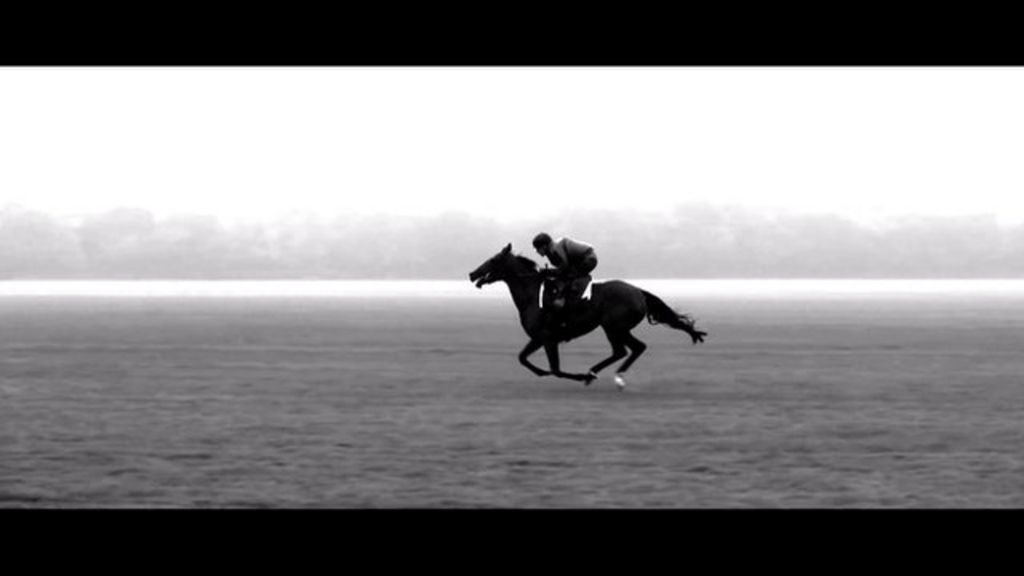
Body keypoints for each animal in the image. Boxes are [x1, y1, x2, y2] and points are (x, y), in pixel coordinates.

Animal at [468, 243, 707, 388]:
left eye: (493, 260)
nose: (472, 274)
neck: (532, 295)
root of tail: (639, 292)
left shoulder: (547, 338)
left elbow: (556, 370)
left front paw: (580, 376)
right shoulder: (538, 338)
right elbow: (522, 358)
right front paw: (542, 373)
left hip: (613, 327)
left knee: (625, 350)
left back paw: (599, 375)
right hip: (616, 328)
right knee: (633, 349)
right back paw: (608, 375)